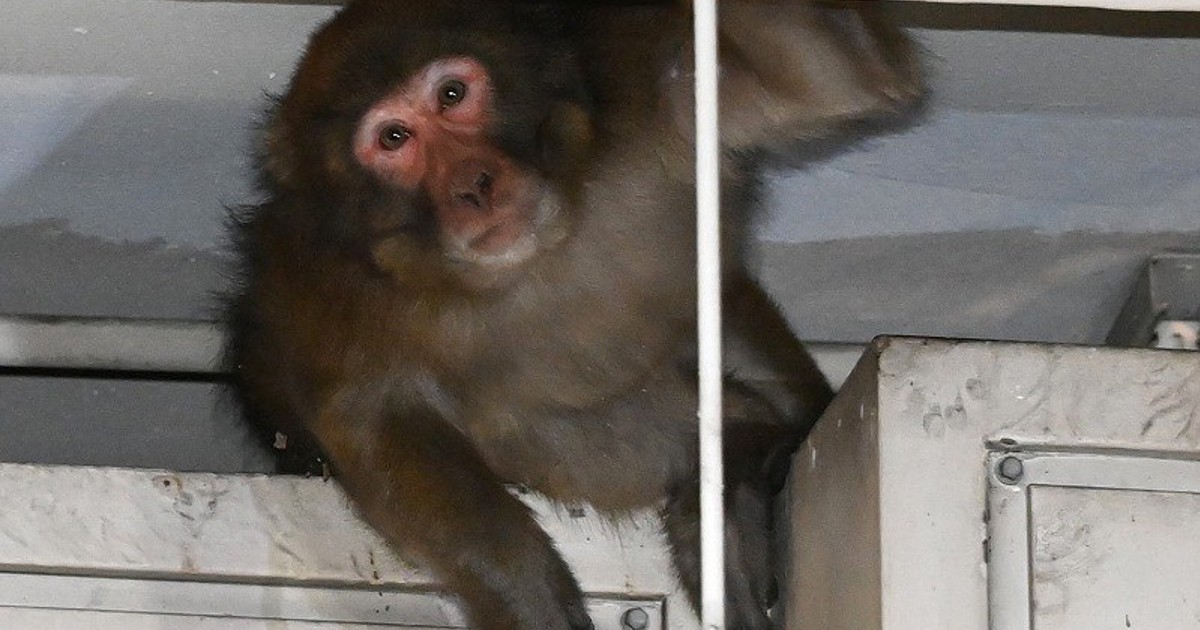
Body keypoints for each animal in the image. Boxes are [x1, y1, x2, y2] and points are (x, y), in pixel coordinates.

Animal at [225, 1, 920, 628]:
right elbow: (373, 419)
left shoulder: (651, 82)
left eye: (452, 94)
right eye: (394, 138)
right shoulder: (318, 282)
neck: (539, 250)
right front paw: (529, 596)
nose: (473, 184)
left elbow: (834, 68)